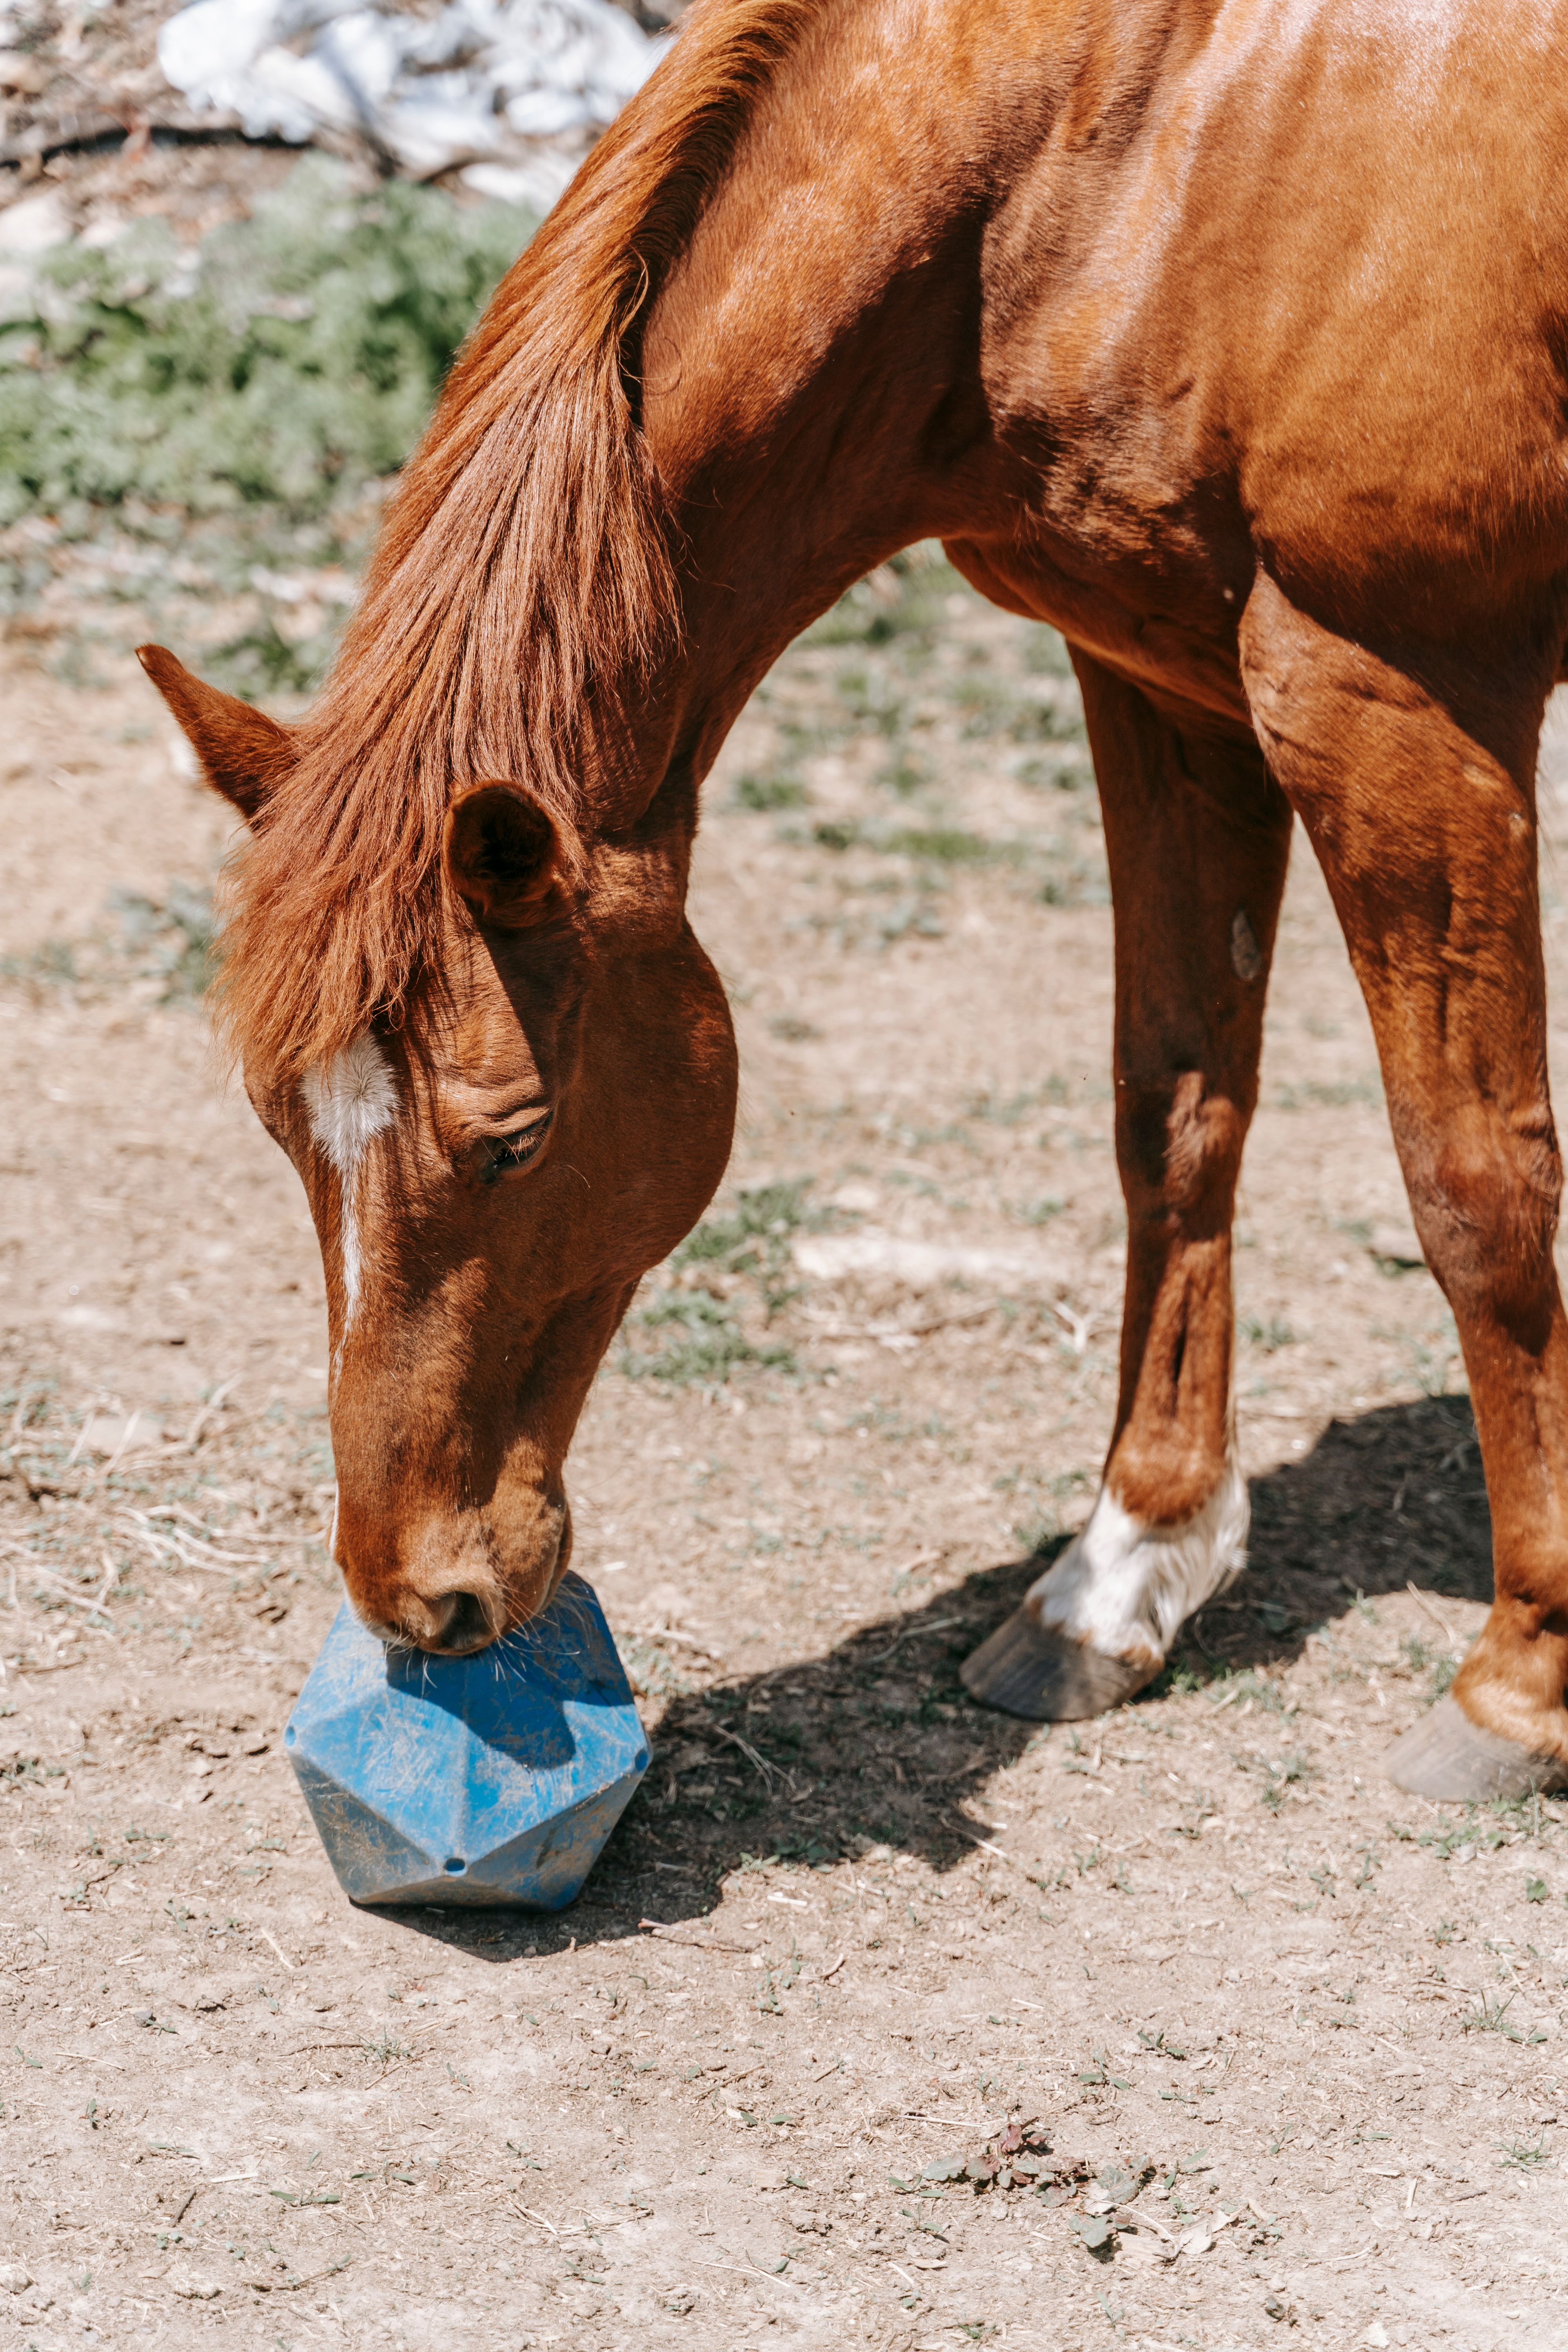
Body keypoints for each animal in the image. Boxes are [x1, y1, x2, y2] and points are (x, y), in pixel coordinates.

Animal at [139, 0, 1568, 1804]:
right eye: (277, 1129)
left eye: (514, 1139)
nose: (416, 1596)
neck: (1150, 139)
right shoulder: (1164, 680)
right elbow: (1175, 1117)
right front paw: (1122, 1570)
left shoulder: (1394, 702)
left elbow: (1478, 1193)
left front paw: (1521, 1682)